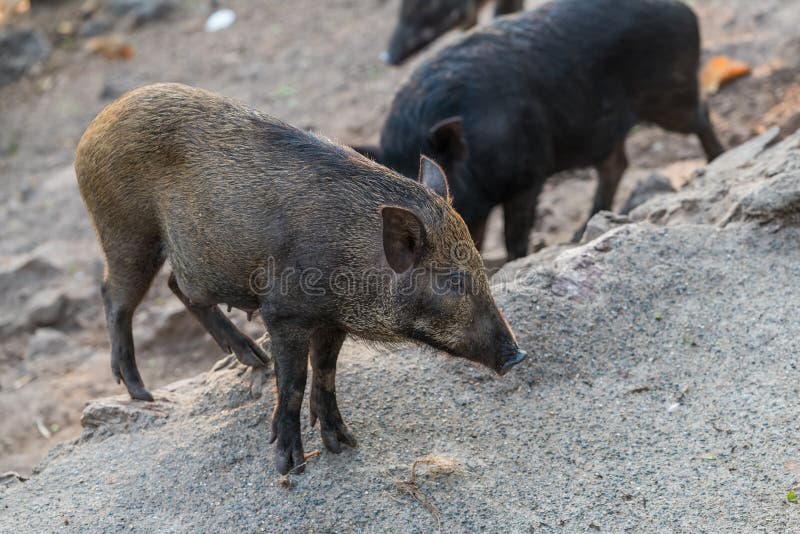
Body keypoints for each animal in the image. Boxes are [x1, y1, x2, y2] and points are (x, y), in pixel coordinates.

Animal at [75, 83, 526, 475]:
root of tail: (94, 126)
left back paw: (252, 358)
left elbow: (325, 375)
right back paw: (143, 393)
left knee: (175, 287)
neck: (354, 257)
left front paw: (344, 444)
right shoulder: (284, 313)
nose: (517, 355)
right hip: (127, 234)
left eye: (480, 265)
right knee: (114, 296)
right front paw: (290, 466)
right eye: (451, 282)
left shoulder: (332, 321)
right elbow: (293, 382)